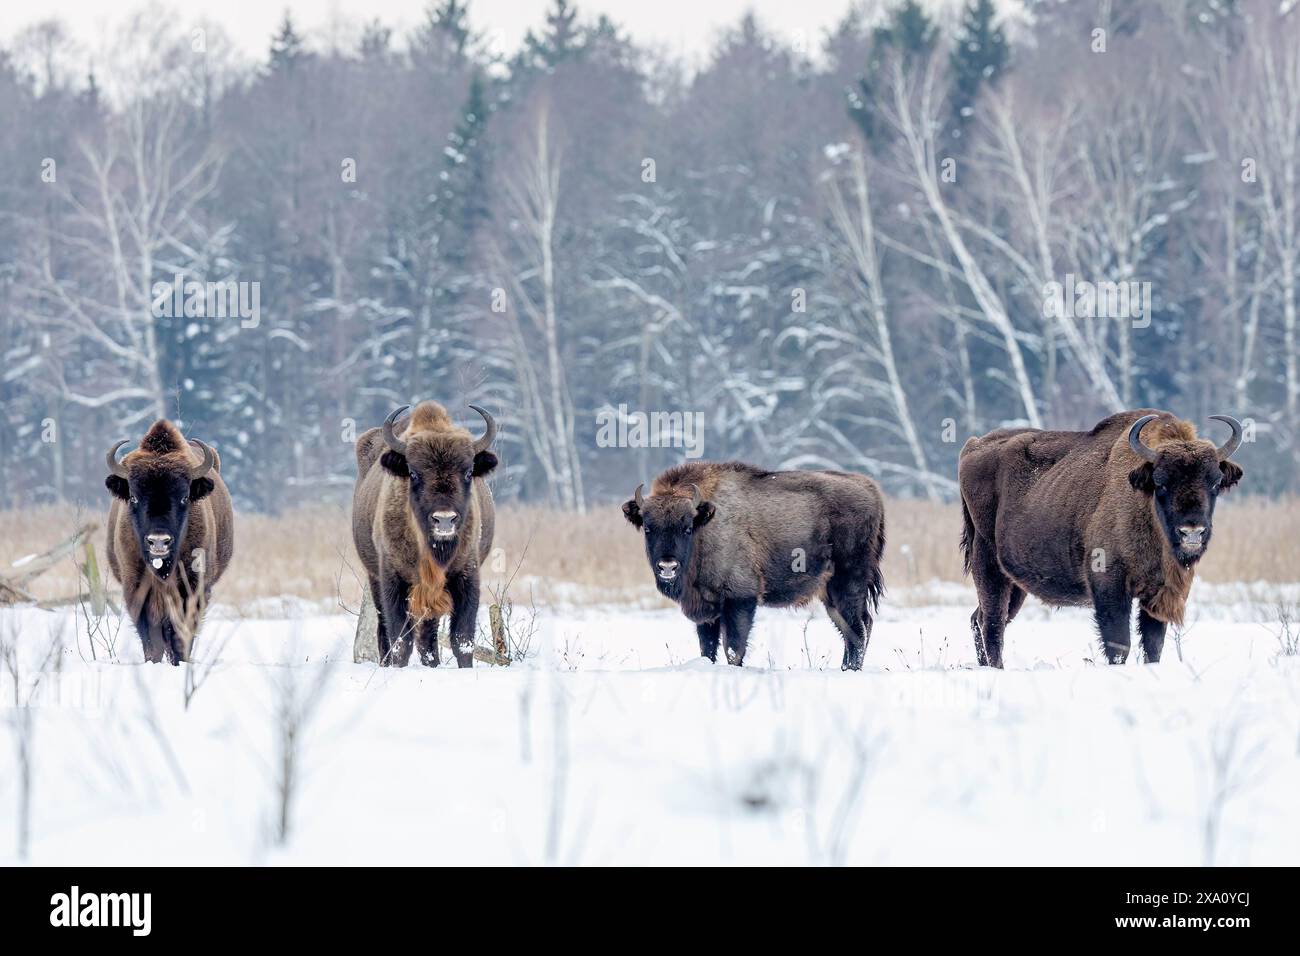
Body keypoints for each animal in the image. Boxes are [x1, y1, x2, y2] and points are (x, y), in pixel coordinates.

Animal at [105, 419, 234, 664]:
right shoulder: (135, 587)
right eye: (133, 497)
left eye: (184, 497)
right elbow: (150, 636)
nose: (158, 541)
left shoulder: (193, 586)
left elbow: (180, 632)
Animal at [352, 401, 498, 667]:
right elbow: (400, 640)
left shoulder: (466, 575)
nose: (444, 519)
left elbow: (462, 639)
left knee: (428, 637)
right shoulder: (392, 579)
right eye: (414, 473)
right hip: (374, 579)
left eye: (468, 473)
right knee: (384, 631)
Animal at [622, 462, 886, 669]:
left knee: (858, 629)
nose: (667, 566)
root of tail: (871, 489)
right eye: (648, 528)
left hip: (848, 584)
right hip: (829, 594)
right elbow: (708, 649)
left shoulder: (740, 599)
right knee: (856, 627)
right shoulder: (707, 611)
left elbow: (733, 648)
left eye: (687, 528)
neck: (705, 525)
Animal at [958, 409, 1244, 667]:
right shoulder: (1109, 585)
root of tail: (972, 445)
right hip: (988, 564)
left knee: (980, 618)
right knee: (992, 622)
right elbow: (1119, 643)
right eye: (1161, 482)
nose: (1191, 531)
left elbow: (1153, 645)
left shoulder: (1158, 594)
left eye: (1215, 482)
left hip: (1015, 583)